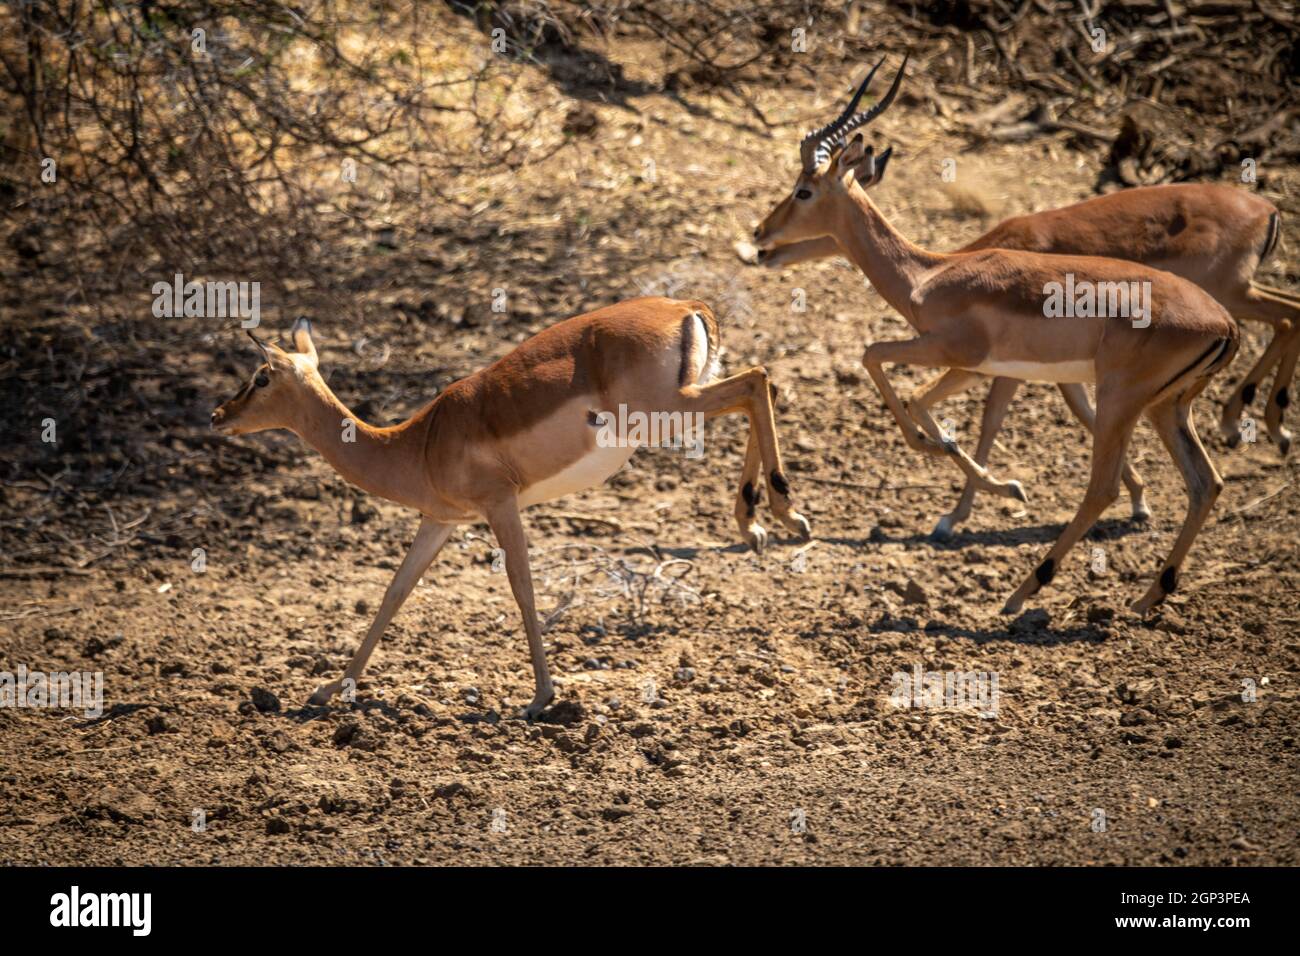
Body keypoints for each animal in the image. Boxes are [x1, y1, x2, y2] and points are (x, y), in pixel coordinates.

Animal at [210, 306, 810, 718]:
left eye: (262, 375)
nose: (218, 415)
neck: (416, 444)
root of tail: (686, 307)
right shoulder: (440, 521)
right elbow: (394, 593)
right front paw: (329, 689)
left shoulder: (500, 505)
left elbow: (522, 588)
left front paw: (541, 698)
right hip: (678, 408)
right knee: (757, 388)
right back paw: (758, 522)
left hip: (670, 410)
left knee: (756, 381)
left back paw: (784, 514)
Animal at [753, 55, 1238, 615]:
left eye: (803, 190)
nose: (760, 234)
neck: (929, 274)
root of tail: (1224, 322)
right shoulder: (977, 368)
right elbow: (933, 404)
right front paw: (984, 481)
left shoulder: (953, 352)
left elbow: (880, 364)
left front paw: (967, 470)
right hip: (1167, 406)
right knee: (1206, 483)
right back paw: (1147, 596)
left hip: (1122, 398)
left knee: (1103, 488)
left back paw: (1022, 594)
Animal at [759, 183, 1298, 538]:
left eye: (804, 190)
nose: (762, 238)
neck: (931, 275)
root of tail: (1266, 208)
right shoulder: (1015, 371)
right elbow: (1009, 417)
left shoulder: (971, 360)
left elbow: (933, 400)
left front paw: (970, 496)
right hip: (1183, 366)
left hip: (1229, 300)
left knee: (1288, 316)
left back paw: (1257, 425)